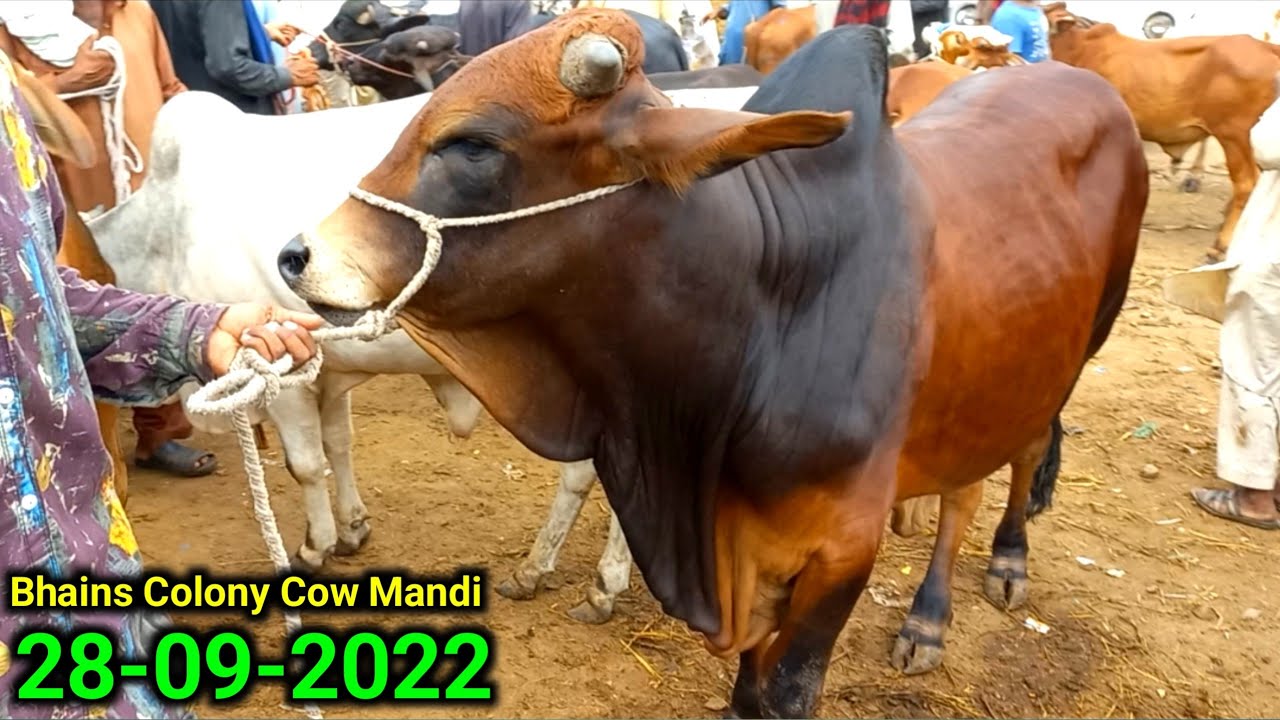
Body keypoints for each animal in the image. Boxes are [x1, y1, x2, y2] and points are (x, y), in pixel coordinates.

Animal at [281, 10, 1147, 715]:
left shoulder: (839, 555)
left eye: (472, 145)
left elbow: (786, 692)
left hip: (1076, 348)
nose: (296, 255)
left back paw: (972, 587)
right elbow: (745, 690)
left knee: (1016, 460)